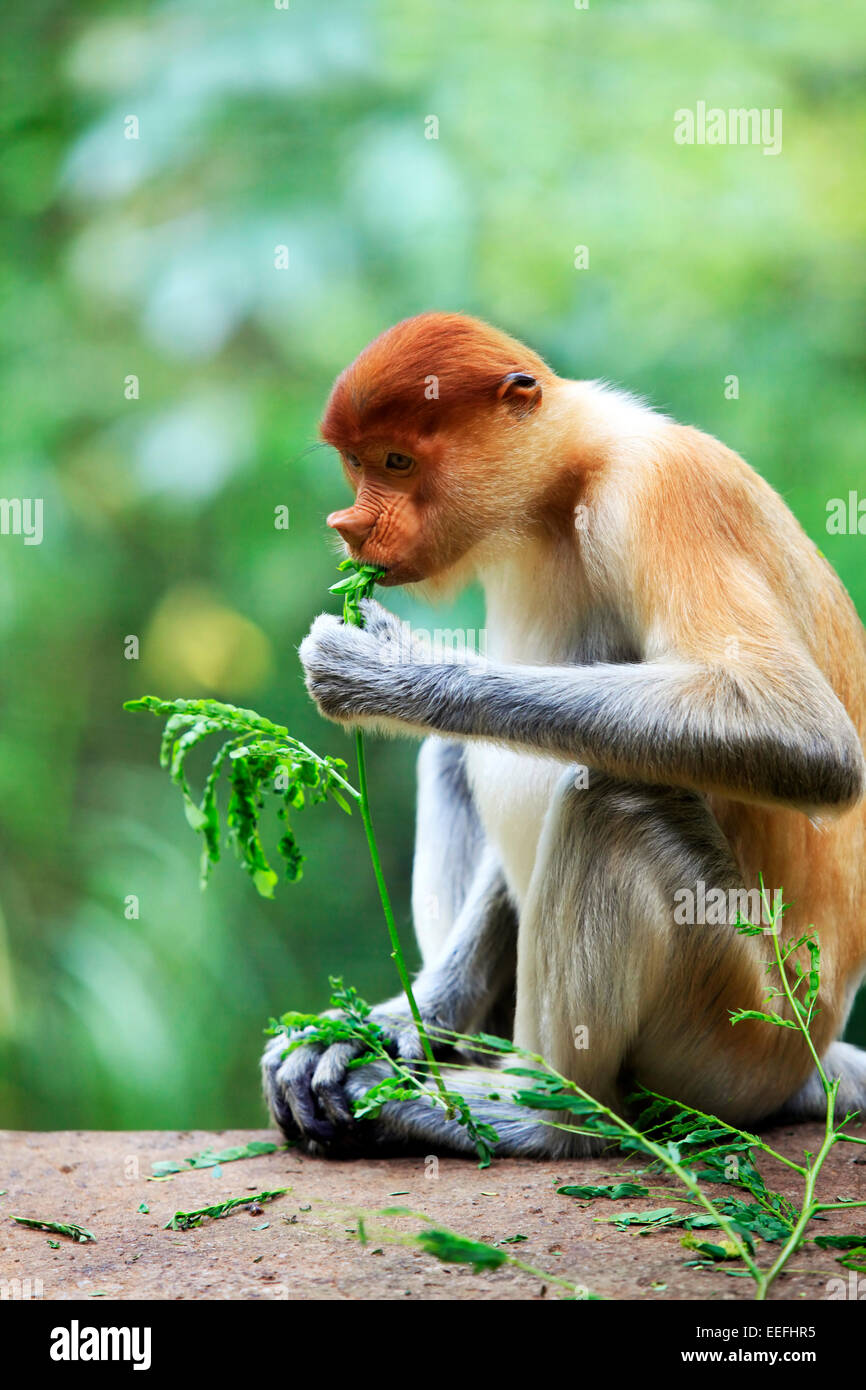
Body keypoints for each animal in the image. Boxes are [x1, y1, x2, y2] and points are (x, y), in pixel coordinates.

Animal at [262, 311, 866, 1158]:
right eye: (356, 464)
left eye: (396, 461)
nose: (349, 526)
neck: (566, 484)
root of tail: (809, 1053)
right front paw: (378, 1027)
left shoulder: (660, 490)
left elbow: (804, 737)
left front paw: (381, 667)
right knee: (456, 755)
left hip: (733, 1031)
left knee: (615, 800)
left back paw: (538, 1117)